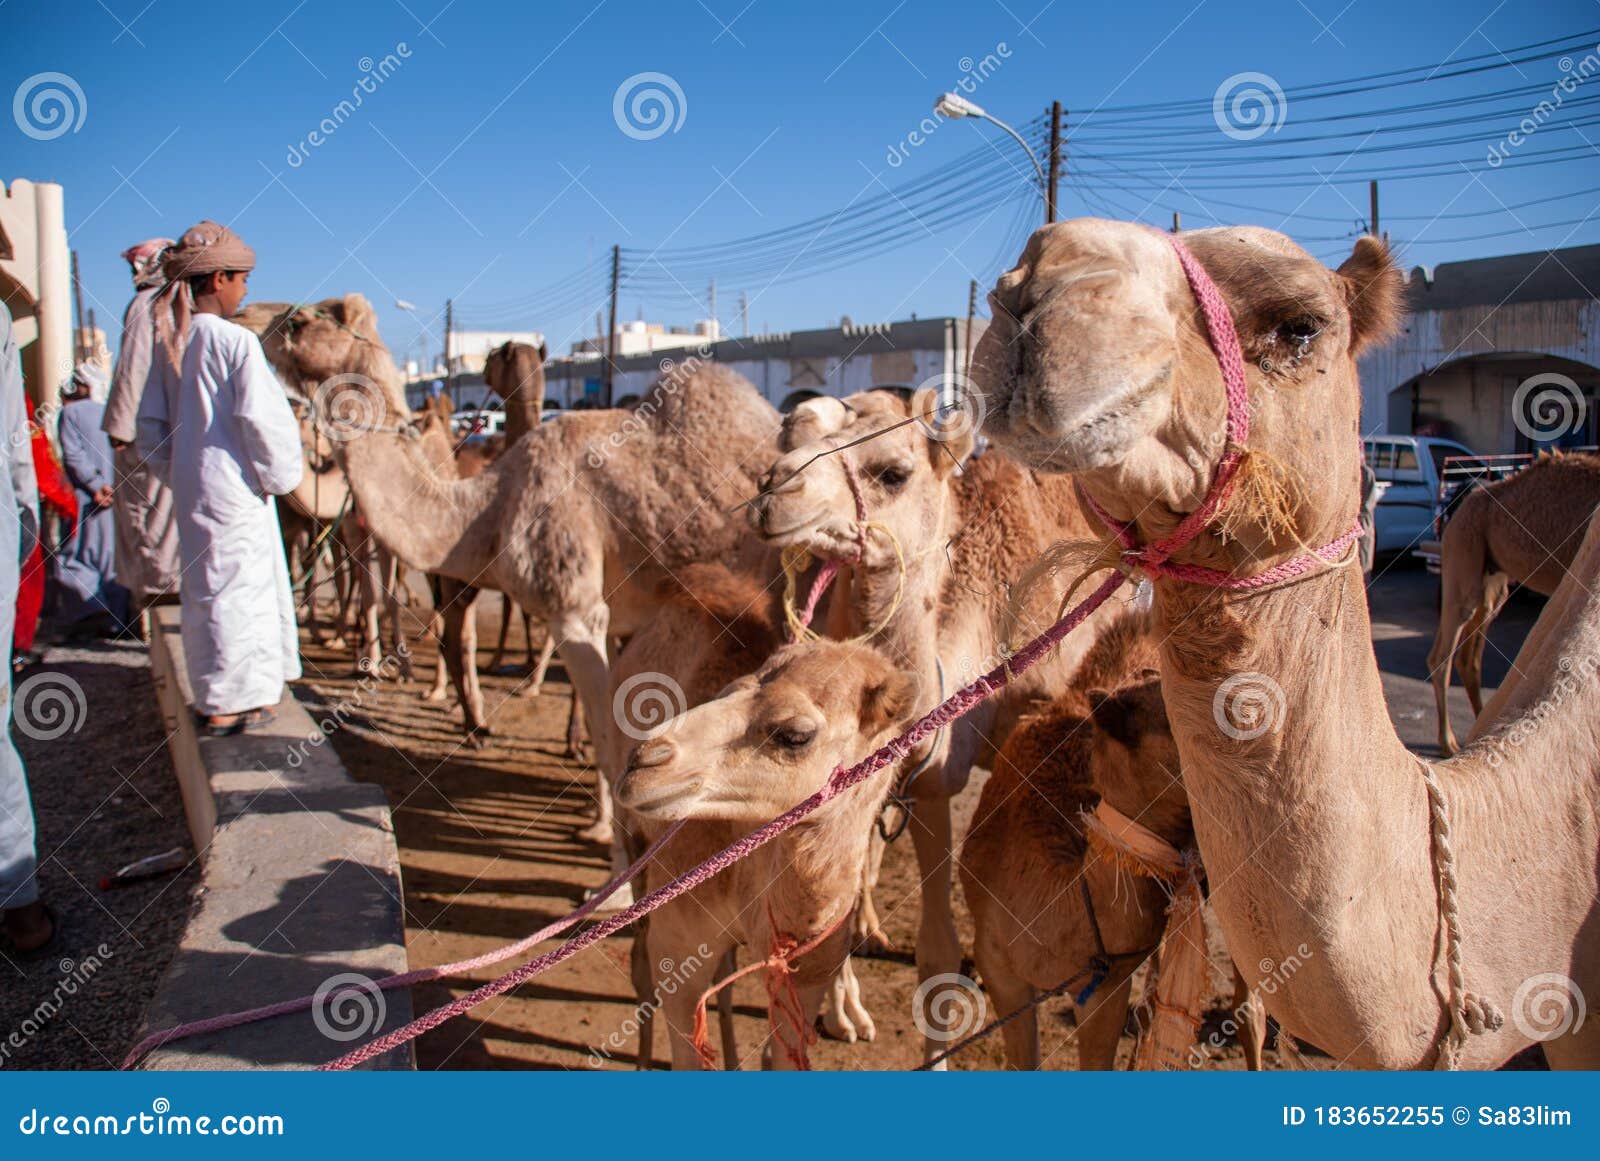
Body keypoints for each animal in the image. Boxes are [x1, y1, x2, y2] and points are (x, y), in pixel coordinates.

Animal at [748, 387, 1131, 1061]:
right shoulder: (918, 770)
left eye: (893, 472)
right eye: (793, 439)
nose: (774, 489)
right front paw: (845, 1011)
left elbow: (940, 957)